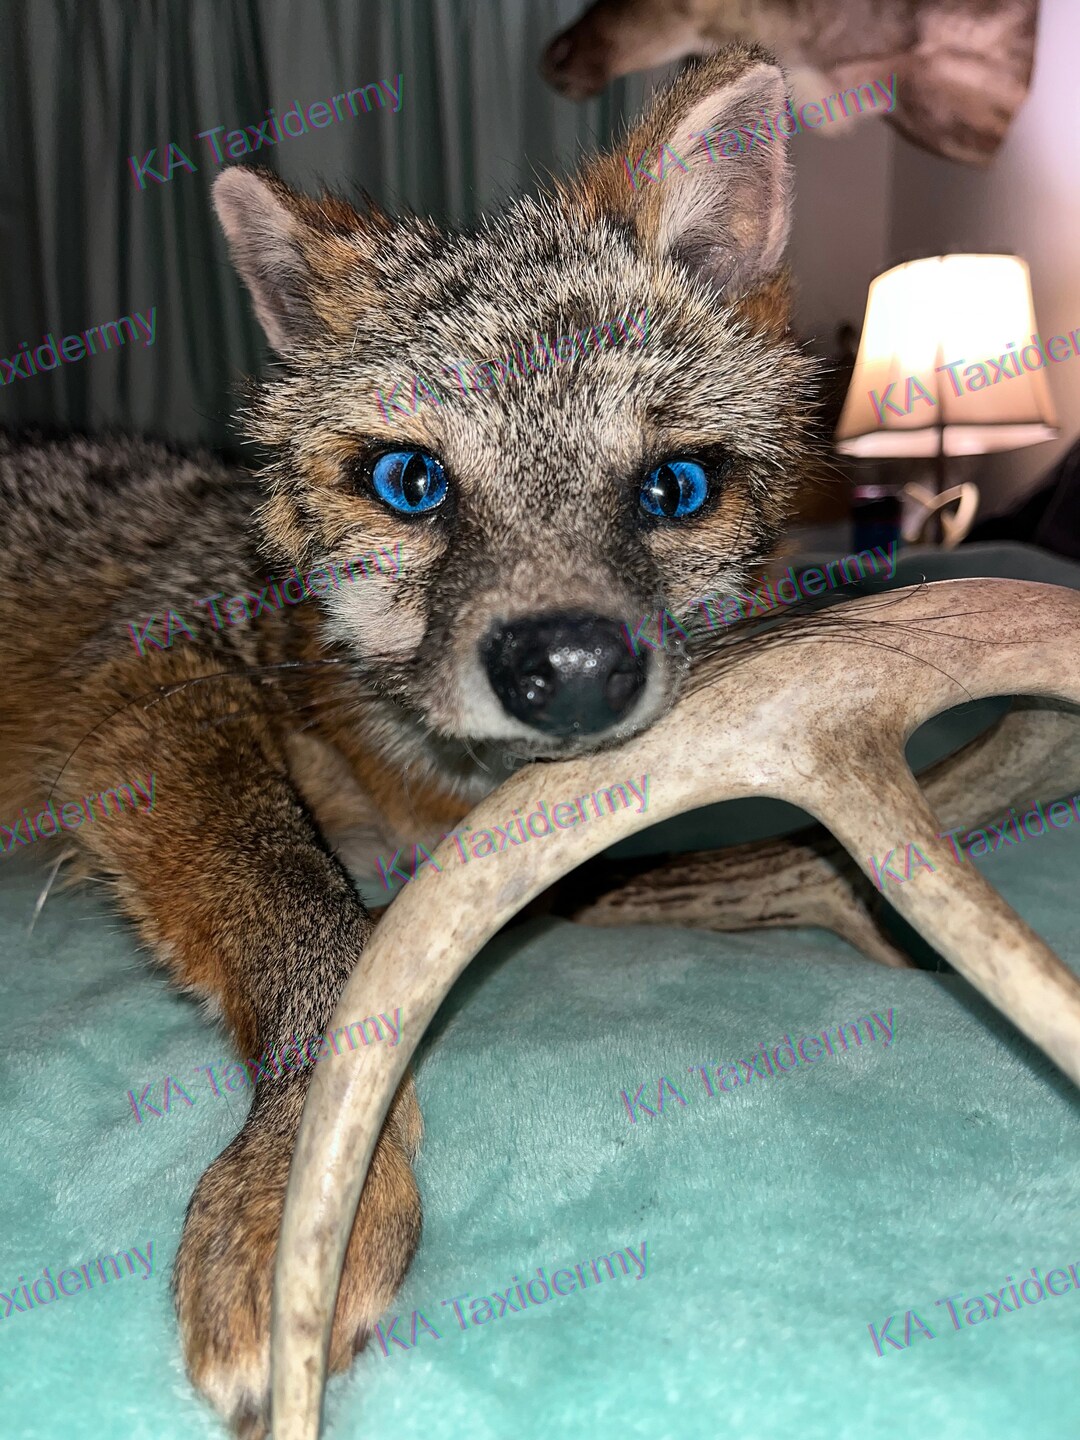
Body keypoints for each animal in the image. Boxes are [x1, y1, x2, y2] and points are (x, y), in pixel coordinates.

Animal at [0, 45, 820, 1437]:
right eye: (410, 483)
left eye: (676, 489)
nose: (571, 671)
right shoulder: (153, 681)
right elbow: (308, 916)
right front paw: (303, 1178)